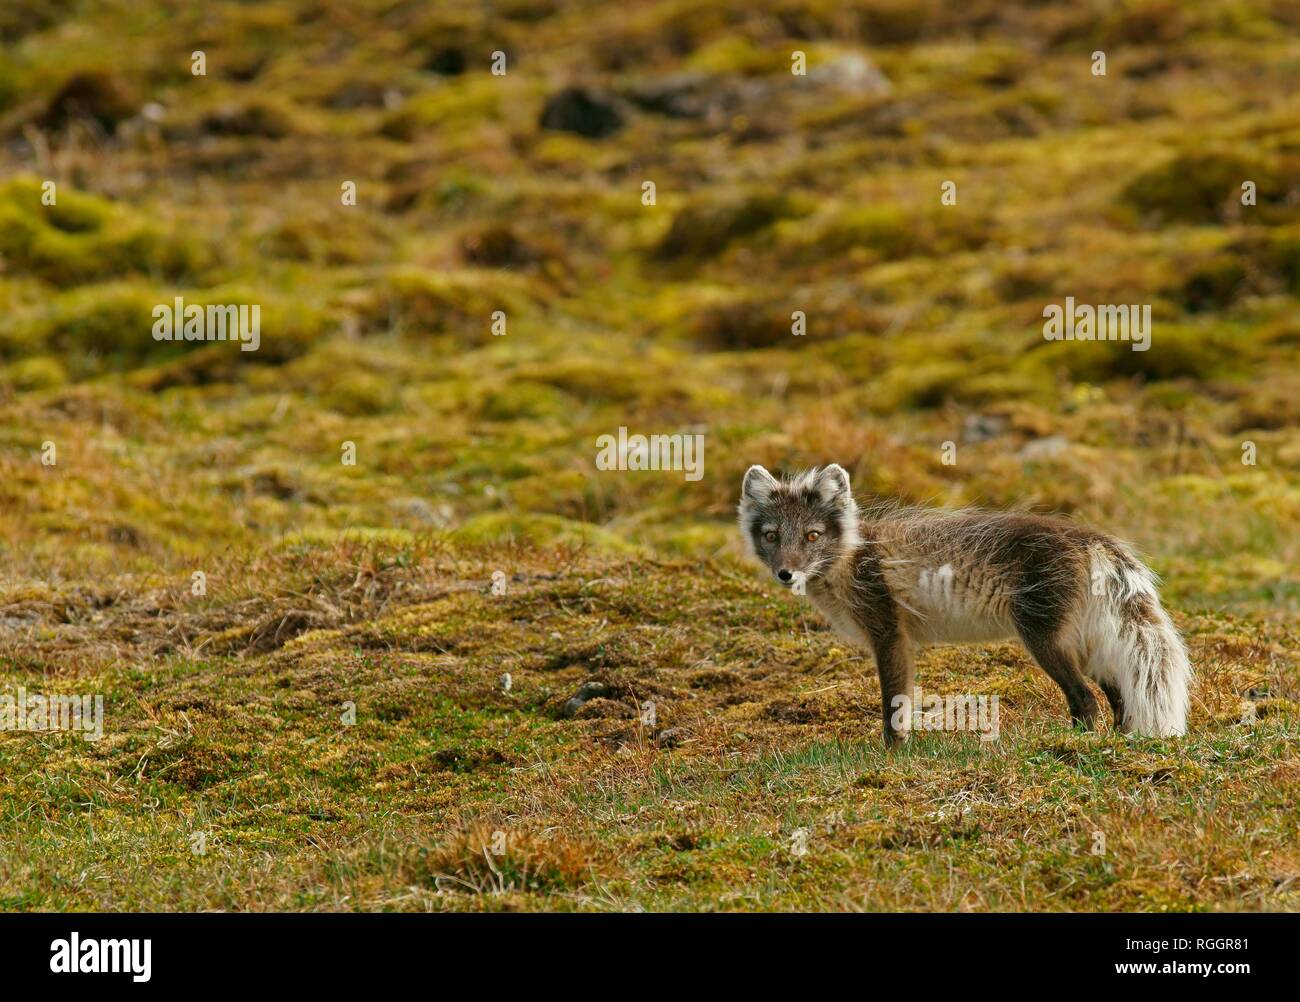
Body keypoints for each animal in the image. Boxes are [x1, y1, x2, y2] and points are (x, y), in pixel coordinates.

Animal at [738, 464, 1192, 745]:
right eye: (772, 536)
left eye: (812, 536)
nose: (786, 574)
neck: (852, 556)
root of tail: (1090, 538)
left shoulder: (890, 635)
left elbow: (893, 705)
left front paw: (892, 753)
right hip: (1087, 644)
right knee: (1119, 697)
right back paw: (1120, 740)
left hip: (1044, 640)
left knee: (1085, 699)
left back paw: (1075, 743)